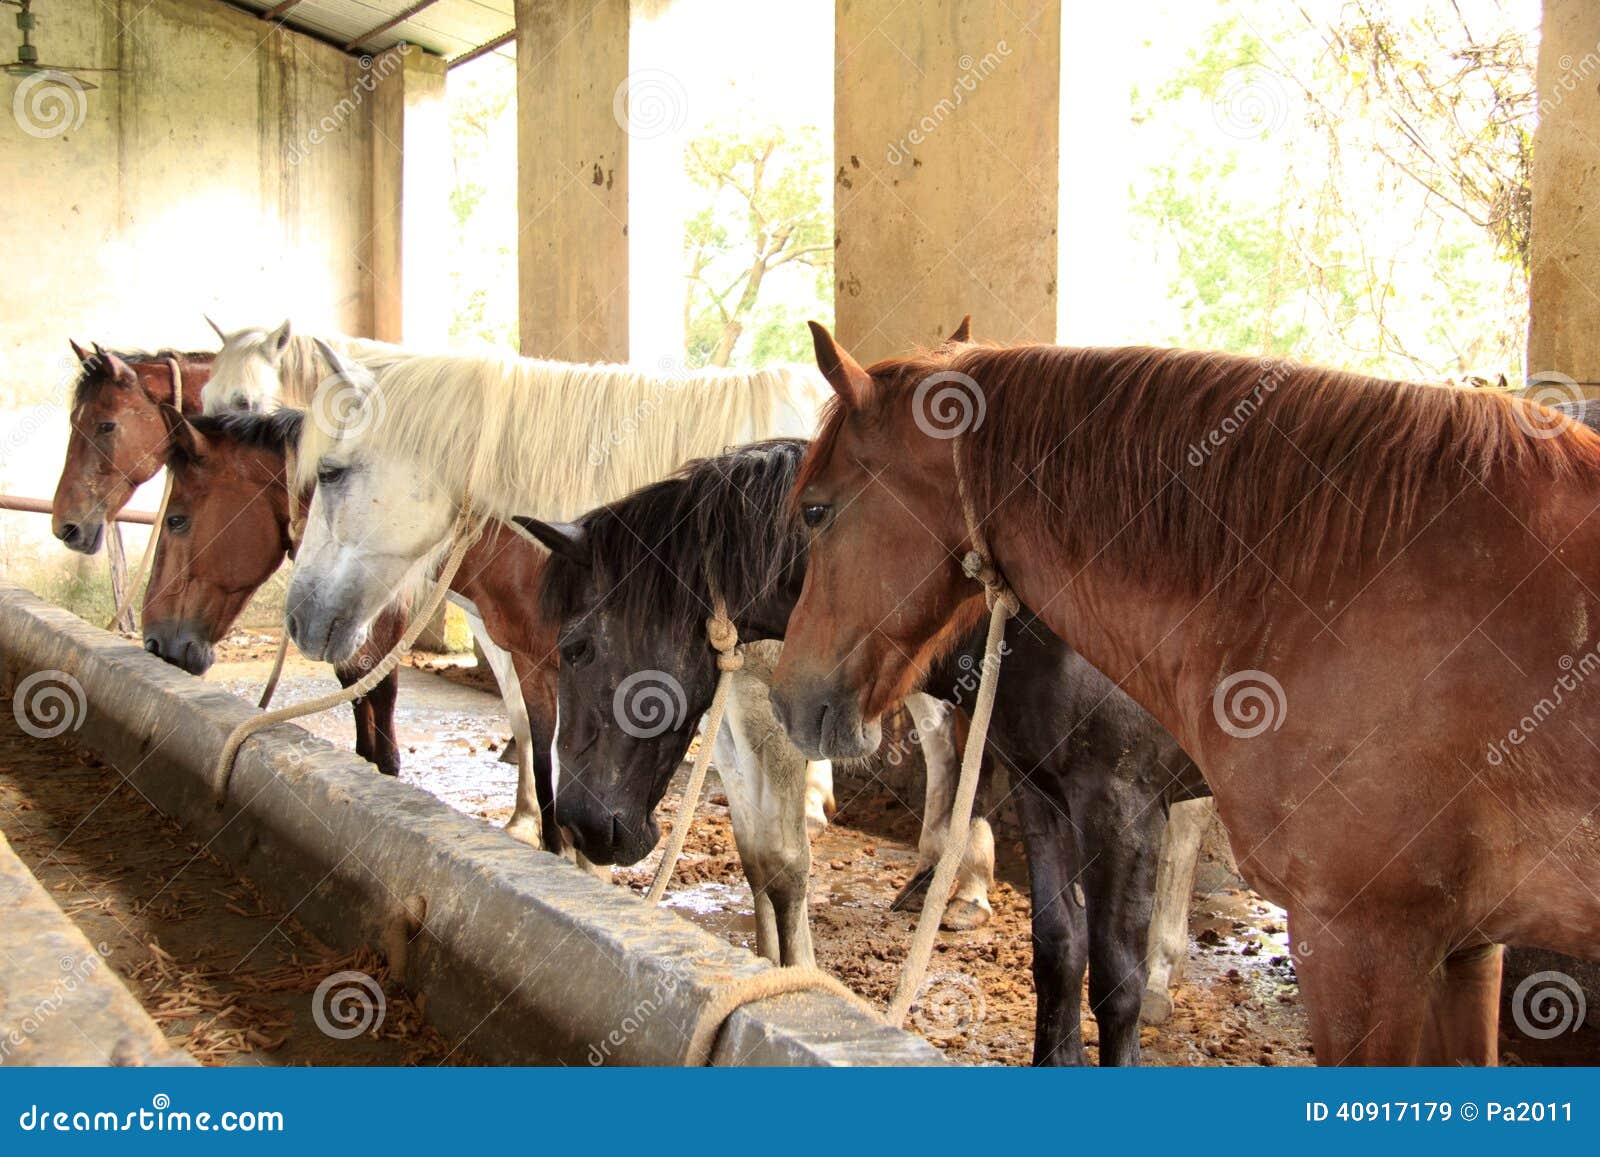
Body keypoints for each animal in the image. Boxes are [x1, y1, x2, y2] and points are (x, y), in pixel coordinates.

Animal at [521, 438, 1209, 1063]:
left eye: (575, 647)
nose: (579, 823)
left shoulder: (1121, 806)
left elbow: (1114, 983)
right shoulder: (1041, 794)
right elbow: (1060, 951)